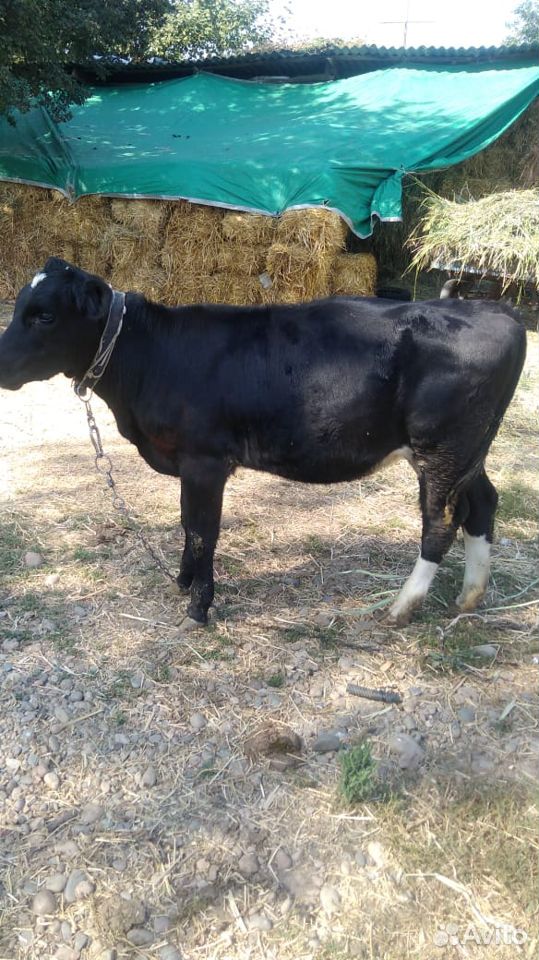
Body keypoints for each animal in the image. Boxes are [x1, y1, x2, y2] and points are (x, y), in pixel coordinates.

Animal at [0, 258, 526, 628]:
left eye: (44, 316)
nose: (0, 365)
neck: (154, 355)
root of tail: (496, 310)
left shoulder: (205, 460)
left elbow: (202, 530)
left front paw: (198, 608)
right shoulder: (187, 461)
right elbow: (187, 523)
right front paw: (183, 582)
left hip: (441, 447)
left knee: (441, 520)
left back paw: (402, 606)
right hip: (466, 452)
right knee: (482, 503)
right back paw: (469, 595)